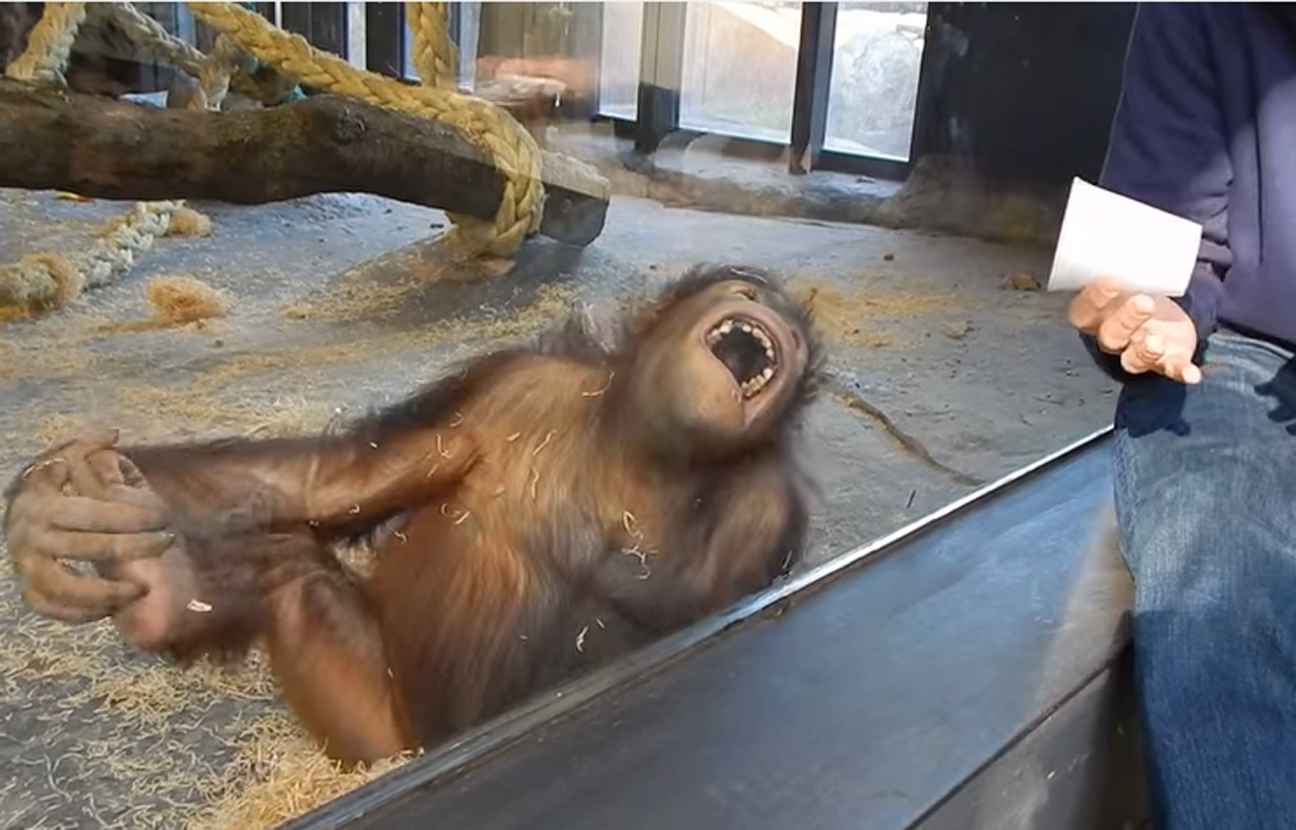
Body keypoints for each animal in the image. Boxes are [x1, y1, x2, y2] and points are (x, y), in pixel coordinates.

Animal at [5, 265, 823, 766]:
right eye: (745, 288)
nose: (771, 319)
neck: (646, 448)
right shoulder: (504, 385)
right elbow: (339, 477)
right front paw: (50, 511)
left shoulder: (768, 511)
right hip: (381, 730)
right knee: (287, 571)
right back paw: (161, 582)